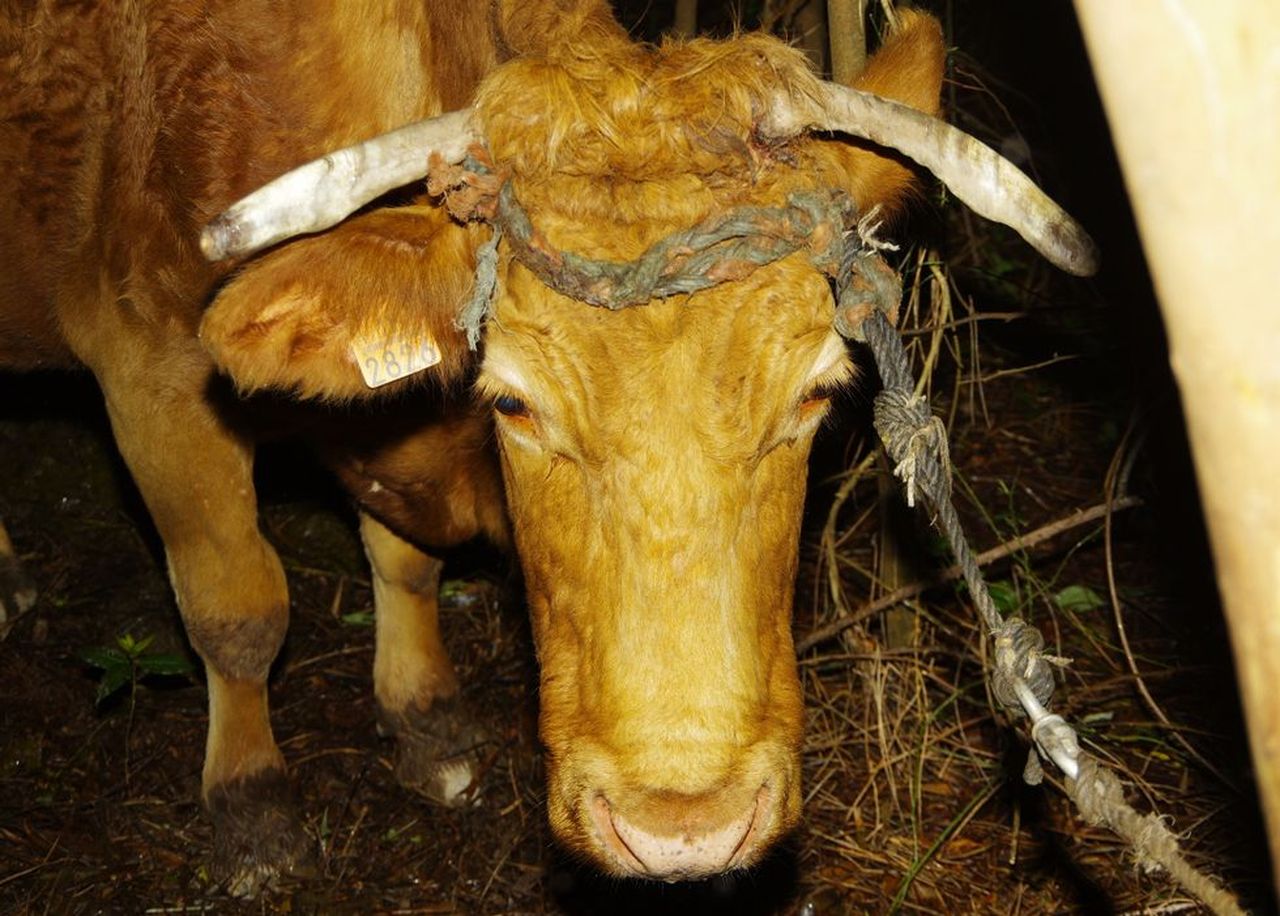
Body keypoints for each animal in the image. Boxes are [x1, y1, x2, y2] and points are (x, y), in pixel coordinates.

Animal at [0, 0, 1094, 896]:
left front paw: (428, 718)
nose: (684, 830)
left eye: (818, 391)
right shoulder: (151, 372)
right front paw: (251, 810)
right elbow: (237, 608)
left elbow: (403, 557)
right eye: (516, 402)